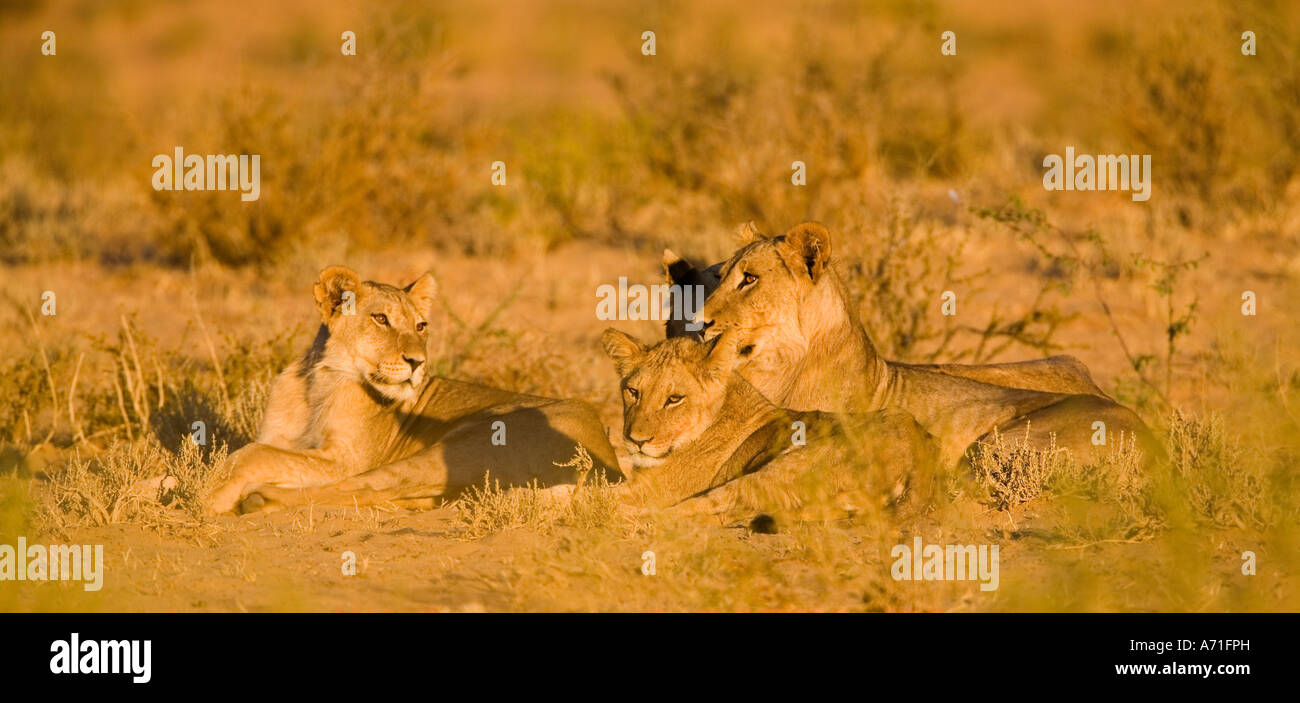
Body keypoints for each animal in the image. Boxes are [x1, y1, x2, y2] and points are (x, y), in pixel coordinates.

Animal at [206, 266, 622, 515]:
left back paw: (259, 499)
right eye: (380, 319)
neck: (317, 383)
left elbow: (255, 454)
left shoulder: (347, 459)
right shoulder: (282, 436)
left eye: (421, 325)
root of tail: (611, 462)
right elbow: (263, 449)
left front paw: (209, 493)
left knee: (365, 487)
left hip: (464, 445)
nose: (417, 362)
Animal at [599, 329, 940, 521]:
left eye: (674, 399)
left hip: (775, 471)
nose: (636, 440)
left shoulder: (656, 488)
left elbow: (596, 494)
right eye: (633, 392)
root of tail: (922, 451)